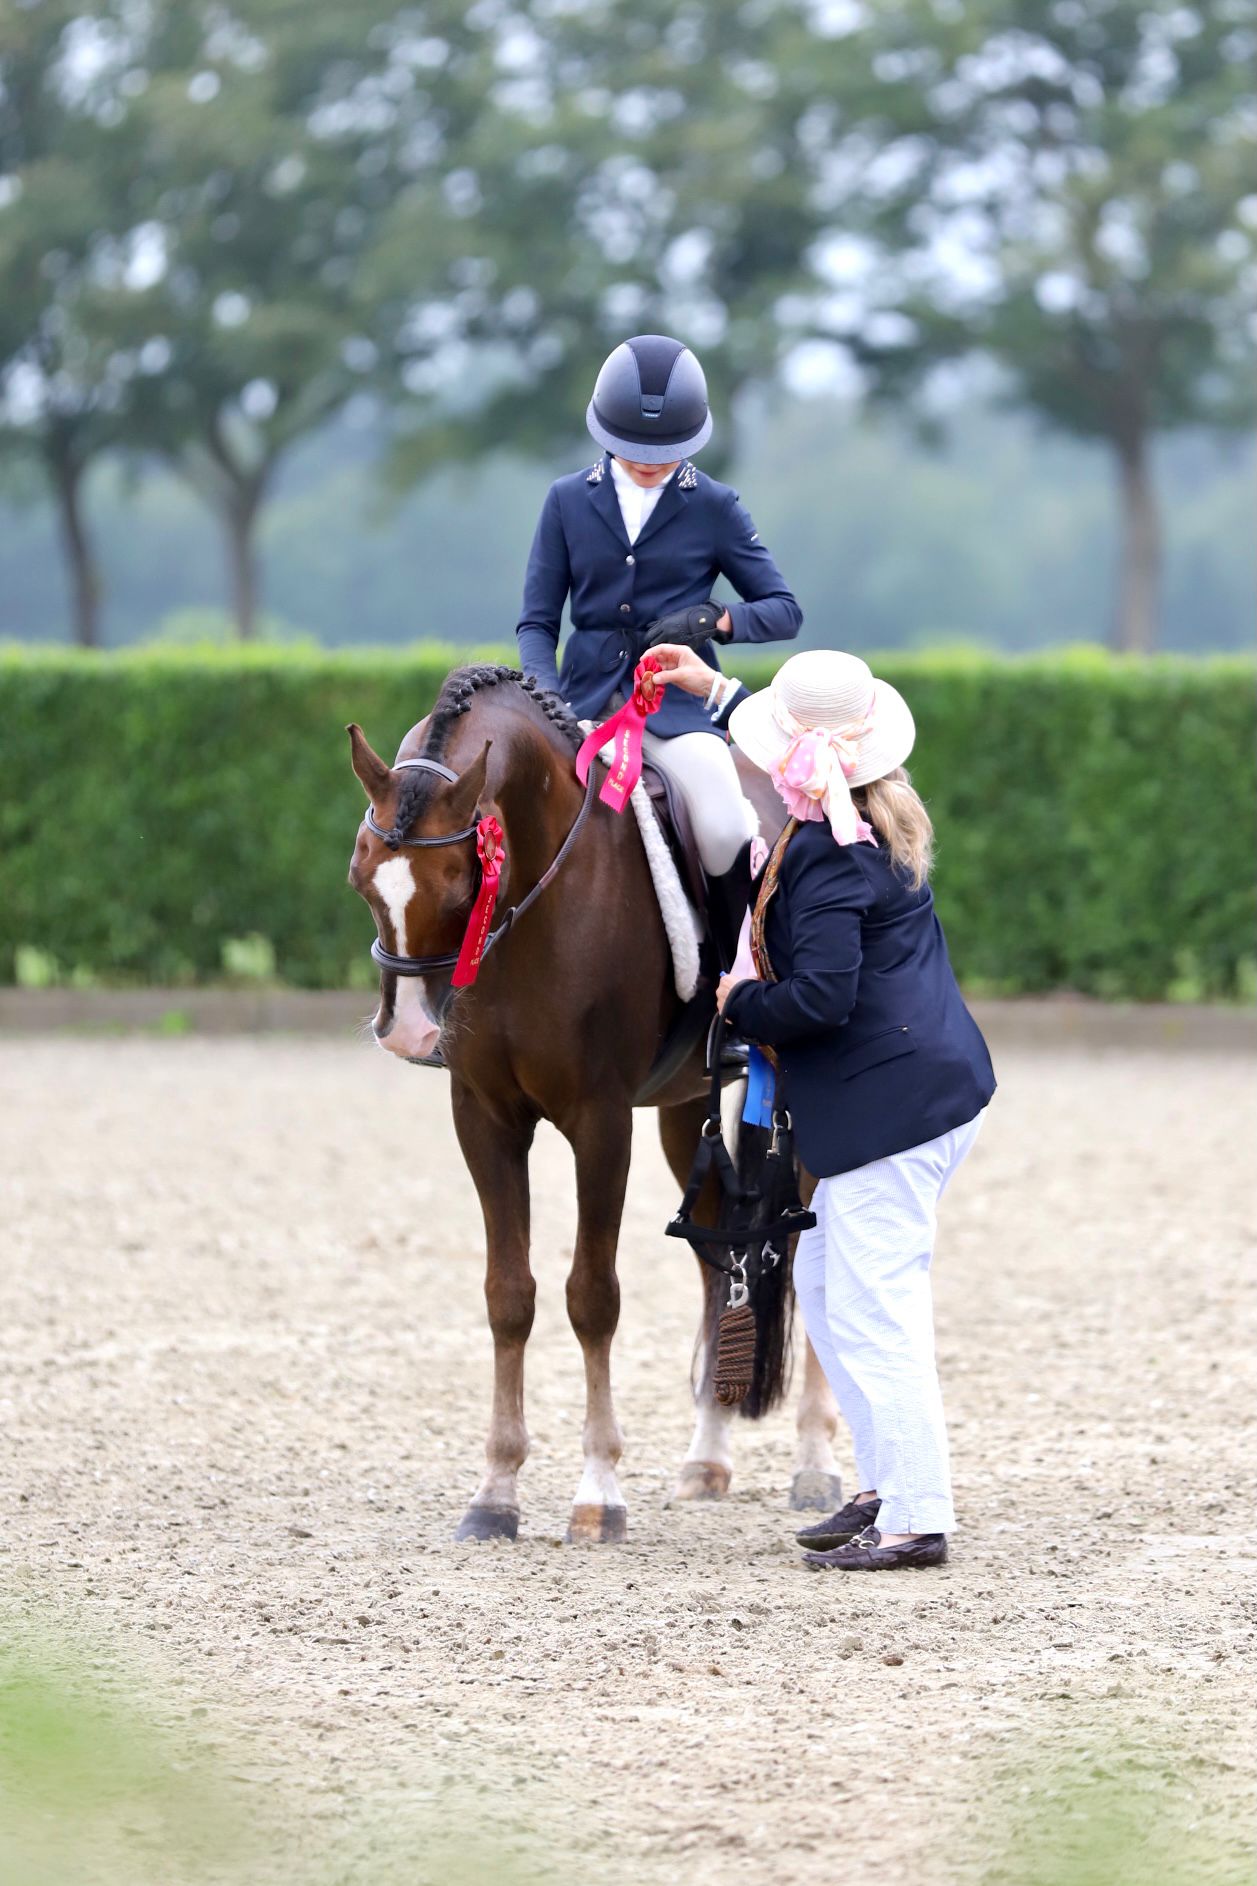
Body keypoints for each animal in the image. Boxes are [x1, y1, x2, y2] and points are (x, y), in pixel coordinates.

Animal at [346, 662, 841, 1543]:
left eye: (459, 883)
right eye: (362, 874)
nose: (408, 1031)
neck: (537, 893)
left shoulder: (599, 1121)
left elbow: (592, 1297)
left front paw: (598, 1491)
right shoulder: (484, 1117)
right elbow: (508, 1296)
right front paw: (495, 1493)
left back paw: (814, 1465)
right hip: (685, 1113)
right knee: (717, 1261)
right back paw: (705, 1458)